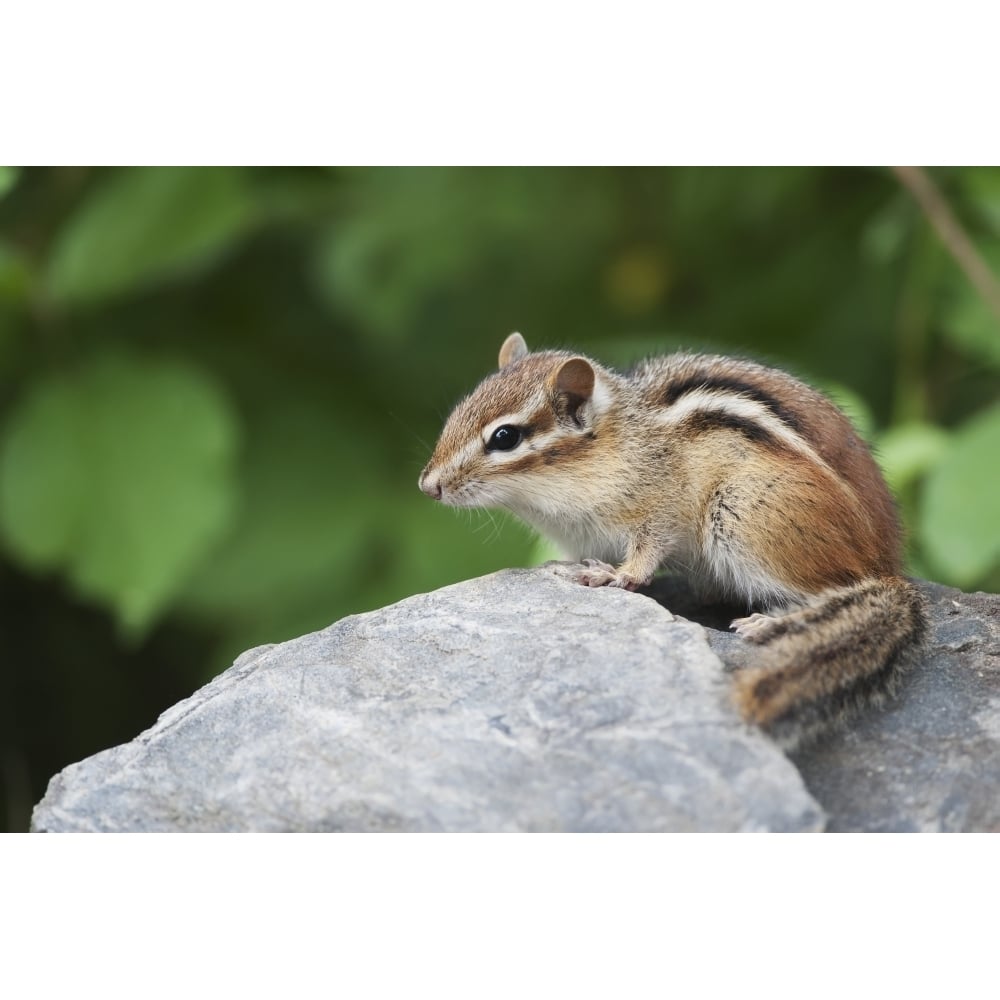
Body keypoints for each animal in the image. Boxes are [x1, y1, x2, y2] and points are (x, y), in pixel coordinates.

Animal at [418, 332, 928, 749]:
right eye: (460, 409)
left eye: (505, 437)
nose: (428, 486)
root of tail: (888, 565)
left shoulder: (659, 508)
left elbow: (646, 553)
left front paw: (614, 576)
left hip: (742, 515)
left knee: (830, 590)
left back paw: (772, 623)